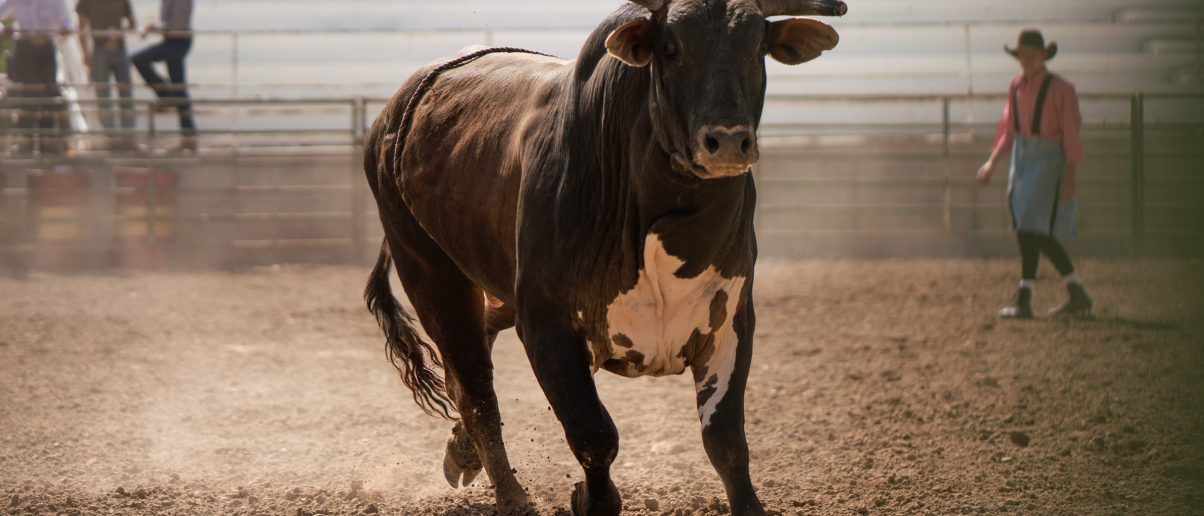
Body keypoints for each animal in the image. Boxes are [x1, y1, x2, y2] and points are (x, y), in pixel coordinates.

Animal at [361, 1, 844, 514]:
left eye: (757, 48)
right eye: (670, 48)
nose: (729, 140)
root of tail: (399, 109)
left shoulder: (731, 321)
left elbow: (726, 441)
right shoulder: (548, 326)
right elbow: (594, 436)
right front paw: (590, 498)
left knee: (474, 359)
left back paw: (463, 453)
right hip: (430, 272)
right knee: (476, 393)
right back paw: (512, 497)